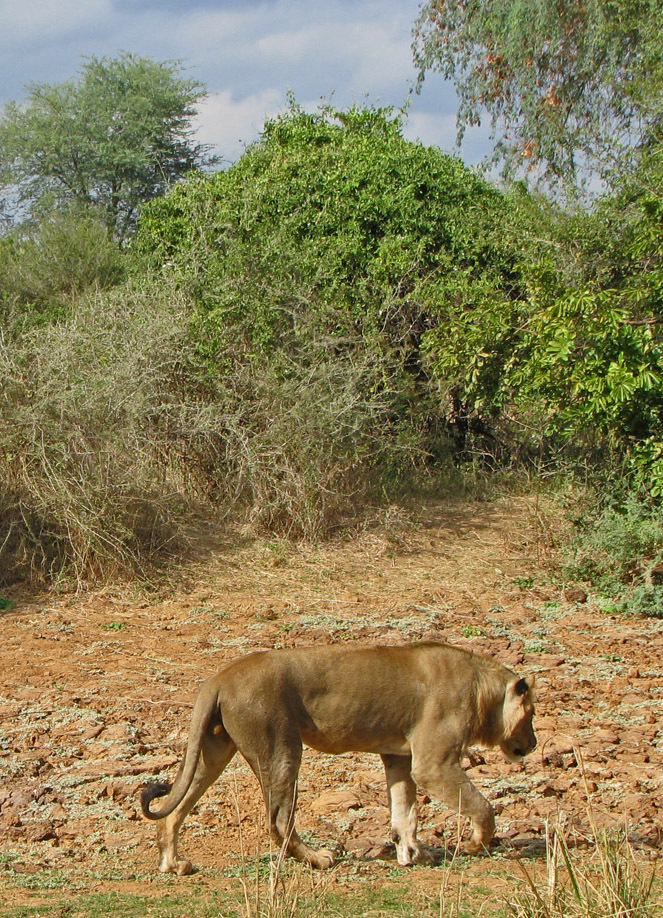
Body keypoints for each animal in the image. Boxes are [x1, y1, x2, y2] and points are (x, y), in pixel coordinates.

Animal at [141, 641, 536, 874]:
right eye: (531, 714)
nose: (532, 744)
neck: (481, 687)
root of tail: (219, 677)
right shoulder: (433, 764)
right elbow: (482, 806)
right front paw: (475, 843)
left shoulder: (398, 757)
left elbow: (404, 813)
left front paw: (414, 854)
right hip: (282, 748)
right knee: (278, 821)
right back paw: (318, 858)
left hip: (213, 751)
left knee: (175, 809)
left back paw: (173, 863)